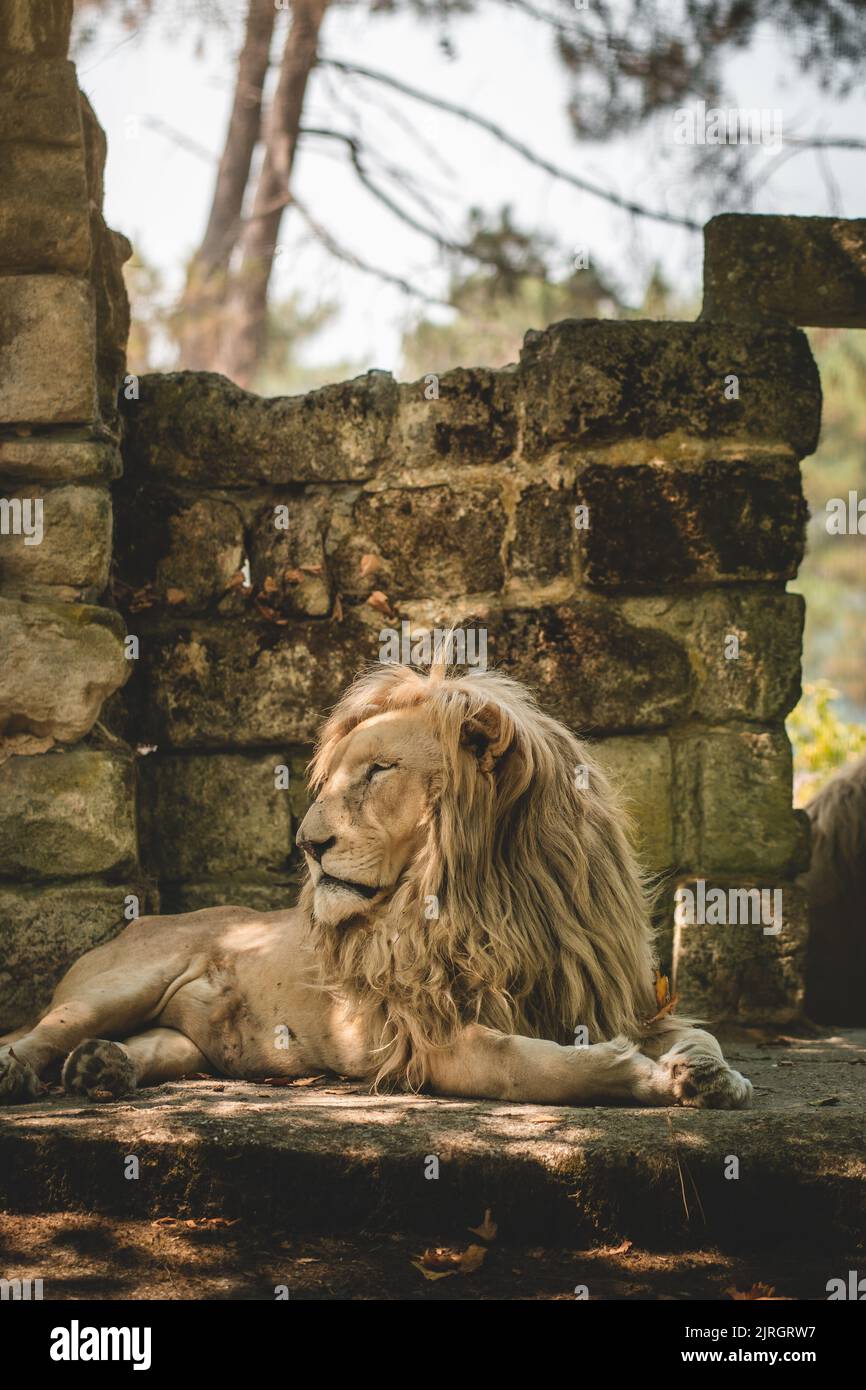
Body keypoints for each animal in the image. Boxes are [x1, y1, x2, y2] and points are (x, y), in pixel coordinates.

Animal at [0, 662, 752, 1109]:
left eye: (380, 770)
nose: (307, 844)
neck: (497, 899)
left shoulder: (618, 999)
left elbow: (699, 1034)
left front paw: (710, 1073)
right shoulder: (433, 1037)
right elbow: (536, 1066)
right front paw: (635, 1073)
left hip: (188, 1037)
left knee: (158, 1045)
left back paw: (101, 1069)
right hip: (120, 984)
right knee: (40, 1033)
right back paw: (22, 1071)